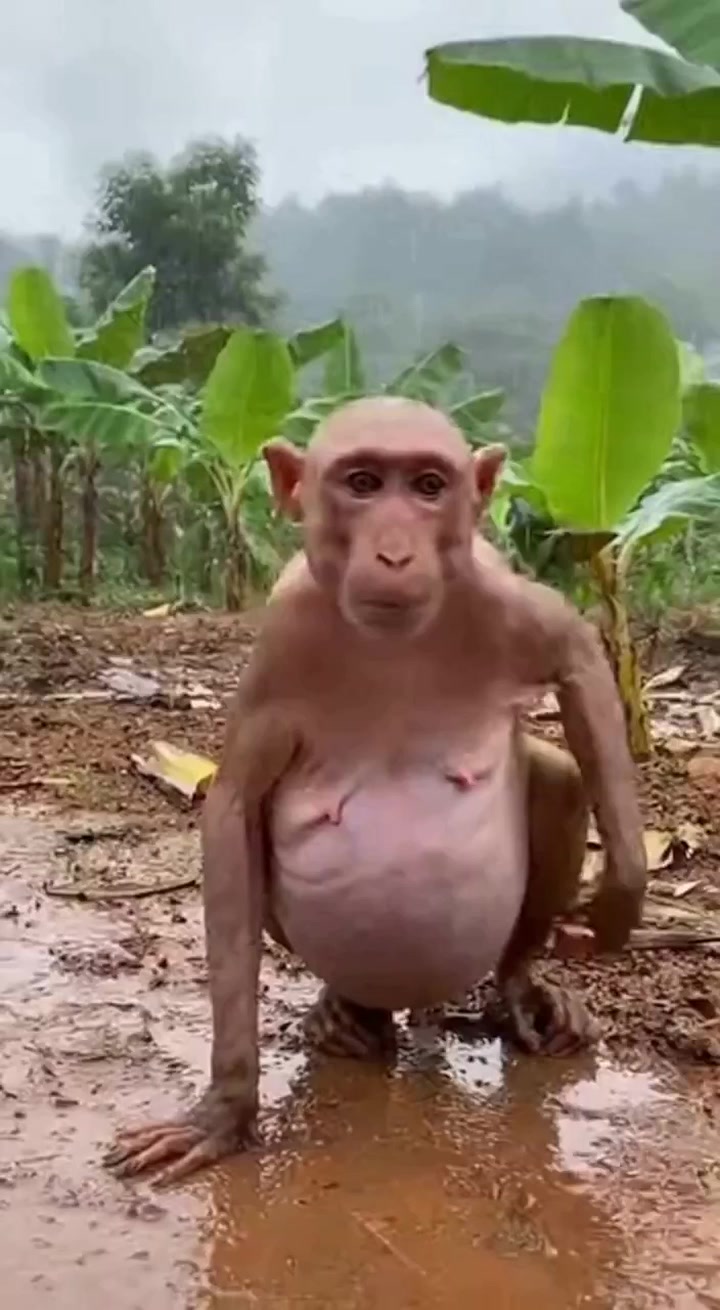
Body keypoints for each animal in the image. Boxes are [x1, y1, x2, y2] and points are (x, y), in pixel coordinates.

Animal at [105, 396, 647, 1186]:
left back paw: (518, 988)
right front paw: (228, 1105)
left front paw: (624, 888)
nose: (394, 553)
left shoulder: (495, 593)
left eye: (428, 487)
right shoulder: (283, 637)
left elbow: (580, 661)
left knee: (559, 776)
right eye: (362, 484)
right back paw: (344, 1011)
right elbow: (233, 813)